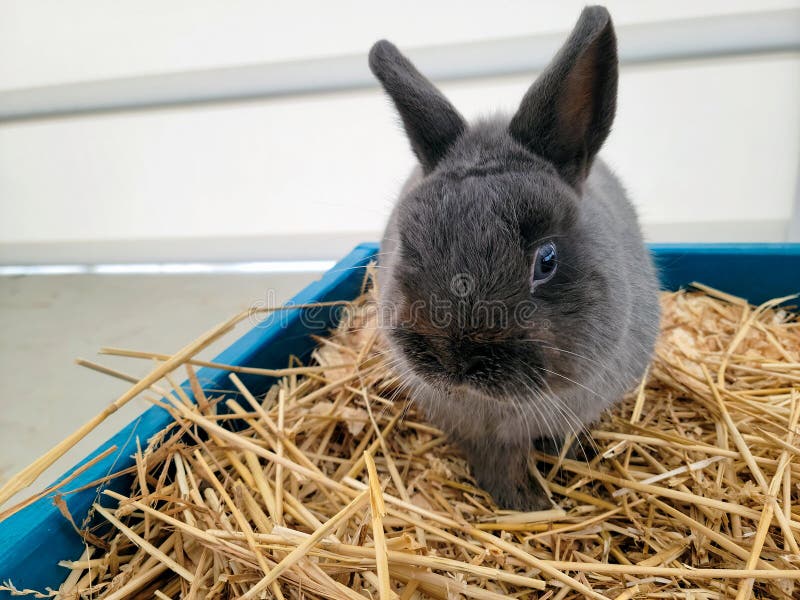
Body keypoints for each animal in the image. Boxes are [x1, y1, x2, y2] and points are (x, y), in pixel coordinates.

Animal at [368, 5, 660, 511]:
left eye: (546, 259)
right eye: (409, 242)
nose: (455, 359)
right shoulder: (478, 432)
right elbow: (499, 466)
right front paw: (524, 505)